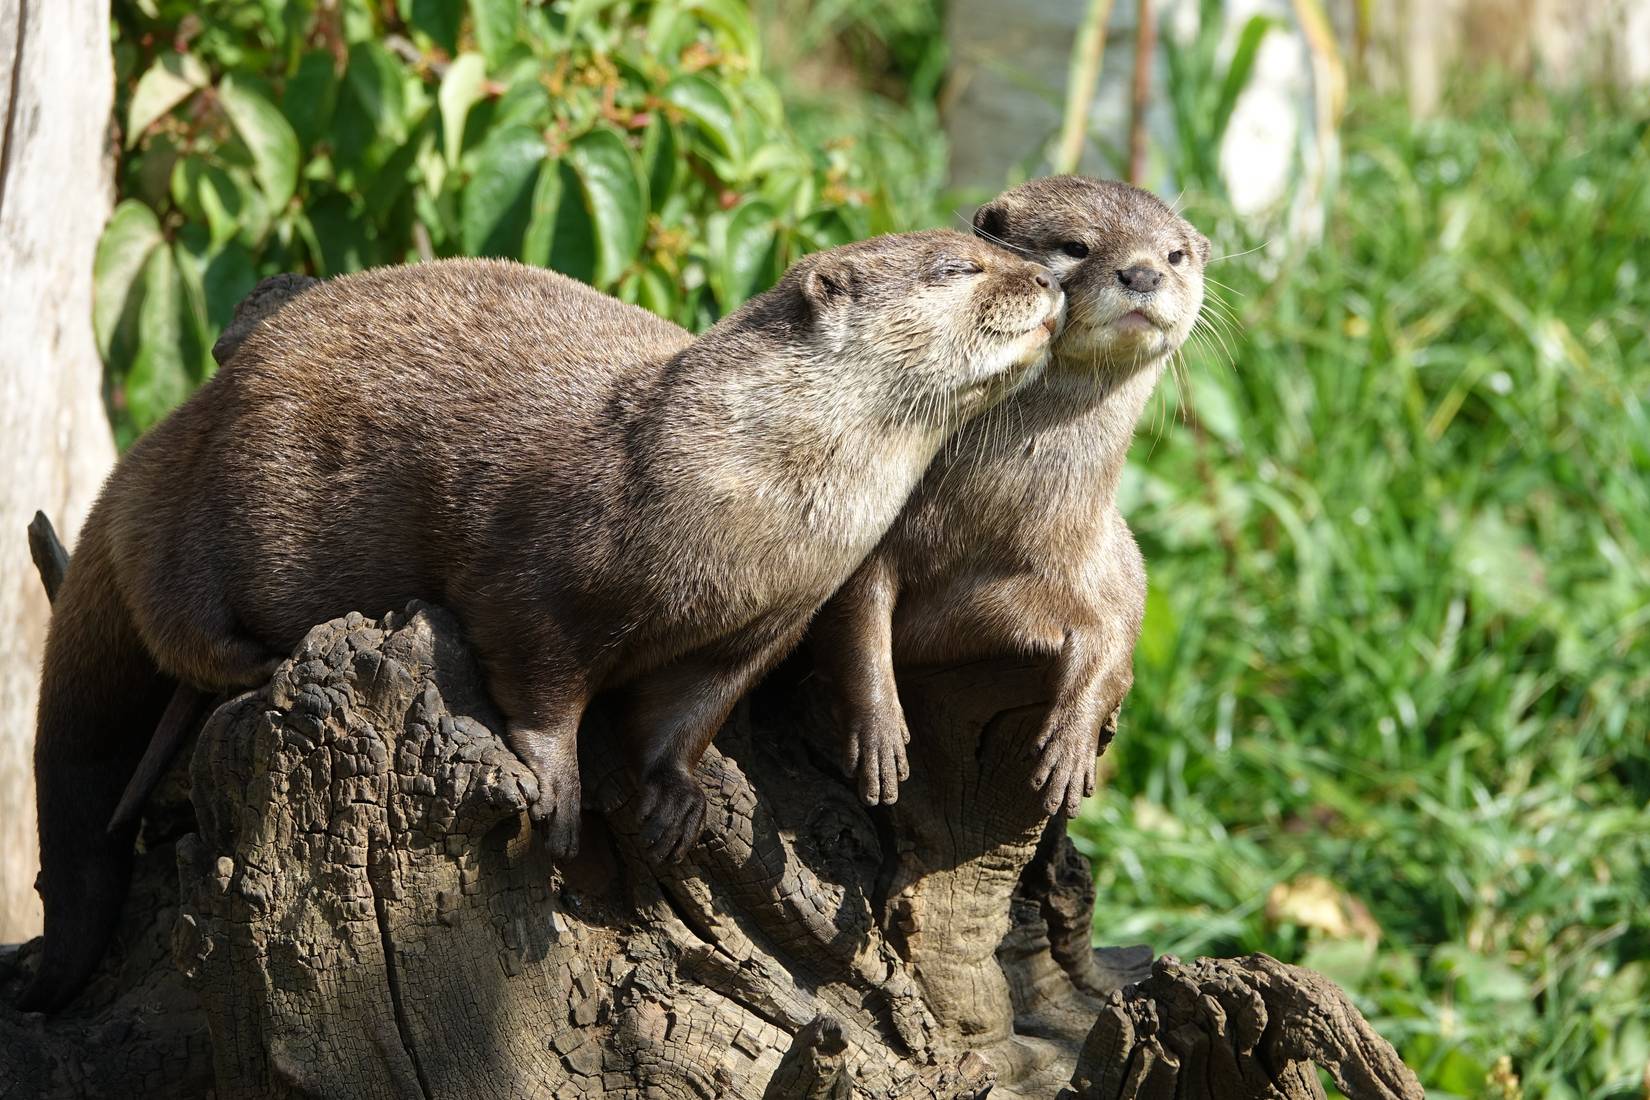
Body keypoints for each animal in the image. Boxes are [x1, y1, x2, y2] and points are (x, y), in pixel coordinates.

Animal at [22, 234, 1062, 1012]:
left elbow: (688, 714)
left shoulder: (762, 629)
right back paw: (249, 659)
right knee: (179, 625)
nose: (1051, 280)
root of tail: (183, 418)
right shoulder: (538, 577)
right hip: (205, 504)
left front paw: (674, 796)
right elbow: (541, 682)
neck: (751, 498)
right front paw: (557, 790)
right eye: (959, 266)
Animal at [813, 177, 1208, 815]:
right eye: (1075, 246)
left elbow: (1116, 642)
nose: (1144, 273)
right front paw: (879, 733)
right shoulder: (874, 532)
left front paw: (1070, 745)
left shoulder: (1114, 568)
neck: (995, 532)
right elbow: (855, 615)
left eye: (1176, 255)